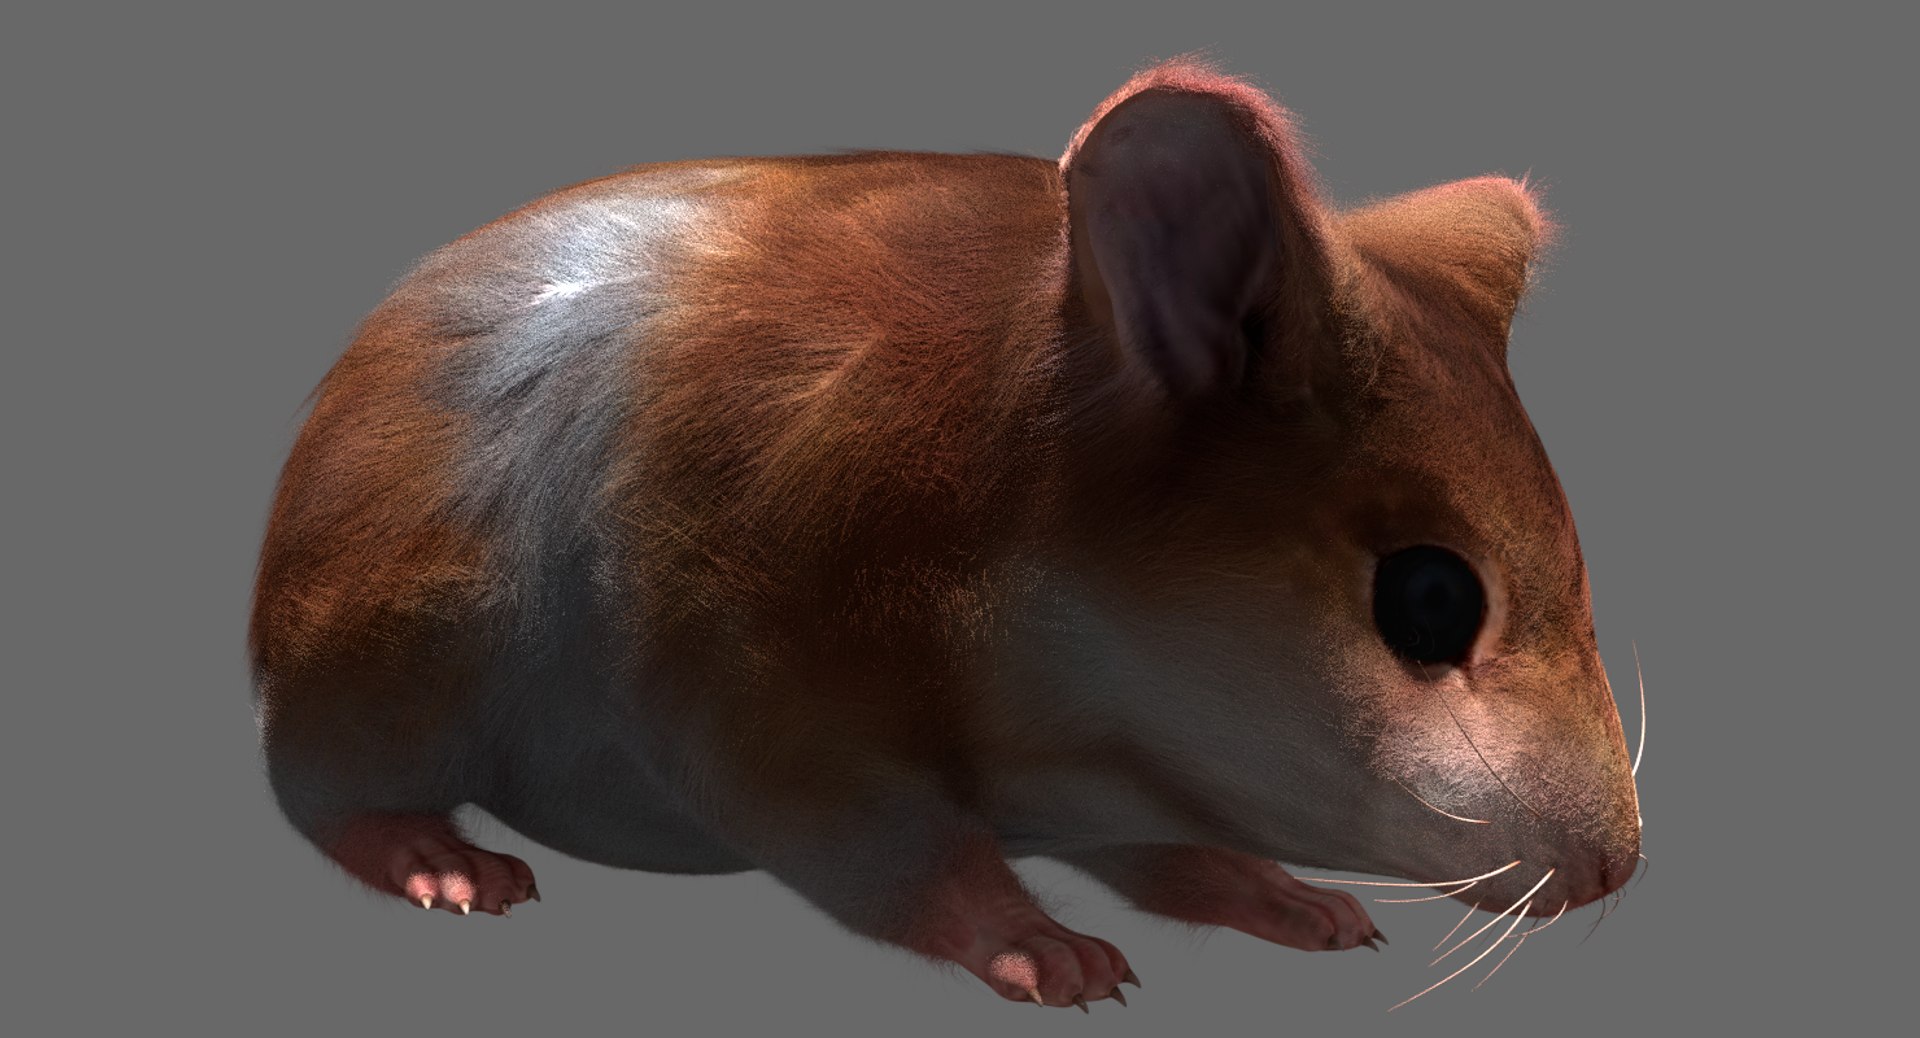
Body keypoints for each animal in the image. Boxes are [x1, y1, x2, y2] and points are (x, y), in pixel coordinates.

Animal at [249, 58, 1641, 1010]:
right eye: (1429, 600)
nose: (1619, 872)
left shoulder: (1120, 789)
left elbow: (1174, 859)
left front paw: (1301, 906)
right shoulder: (754, 695)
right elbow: (906, 860)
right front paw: (1051, 956)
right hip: (388, 668)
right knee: (314, 793)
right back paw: (444, 865)